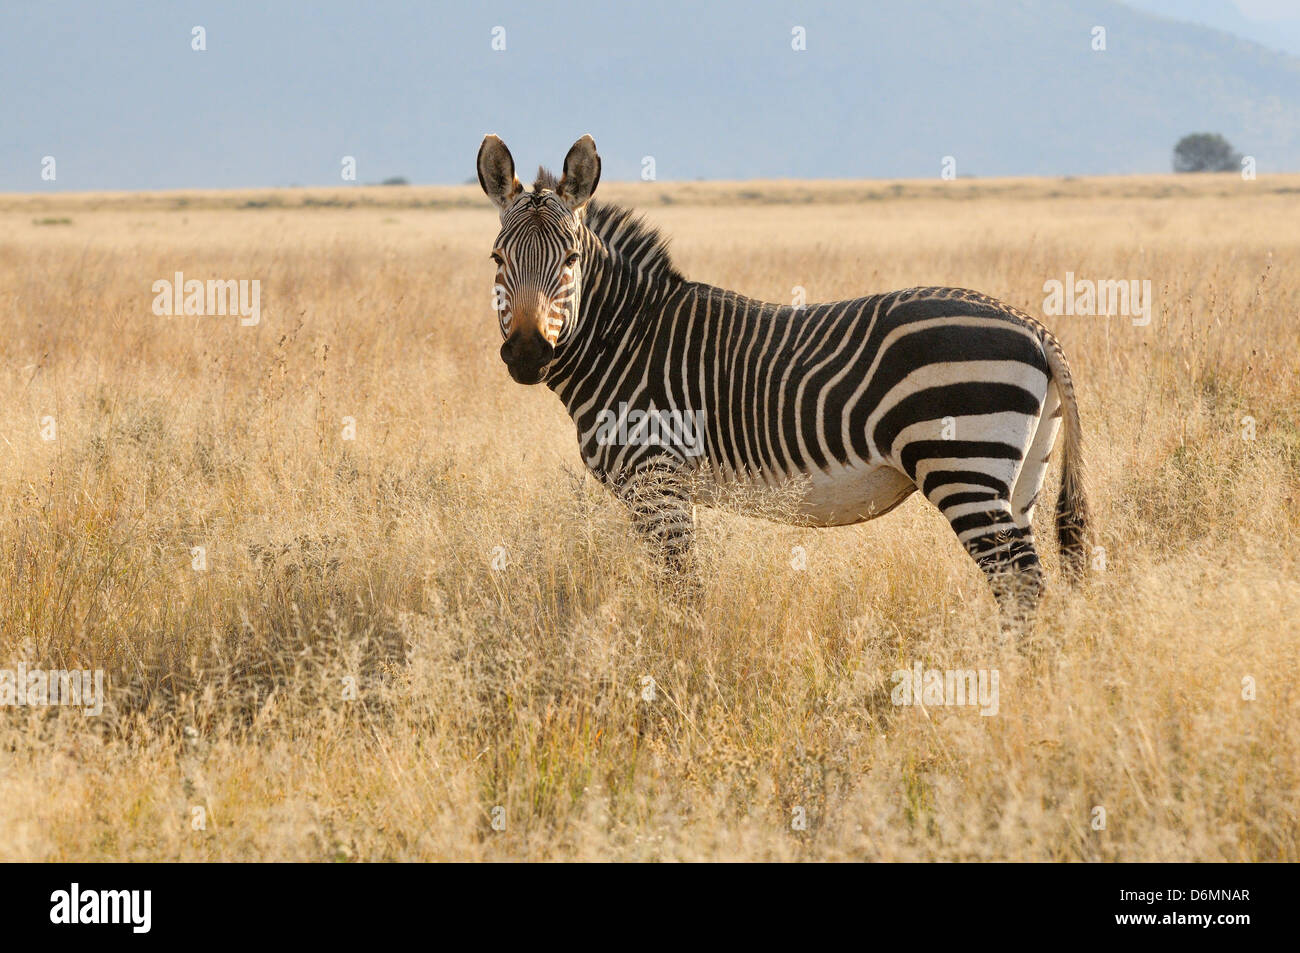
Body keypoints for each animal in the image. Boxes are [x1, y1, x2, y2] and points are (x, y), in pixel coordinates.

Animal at [476, 134, 1088, 619]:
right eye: (497, 259)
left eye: (571, 260)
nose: (528, 354)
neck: (625, 338)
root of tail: (1034, 326)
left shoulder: (657, 480)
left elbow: (682, 591)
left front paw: (682, 659)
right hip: (1021, 476)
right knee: (1025, 583)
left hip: (964, 465)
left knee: (1020, 582)